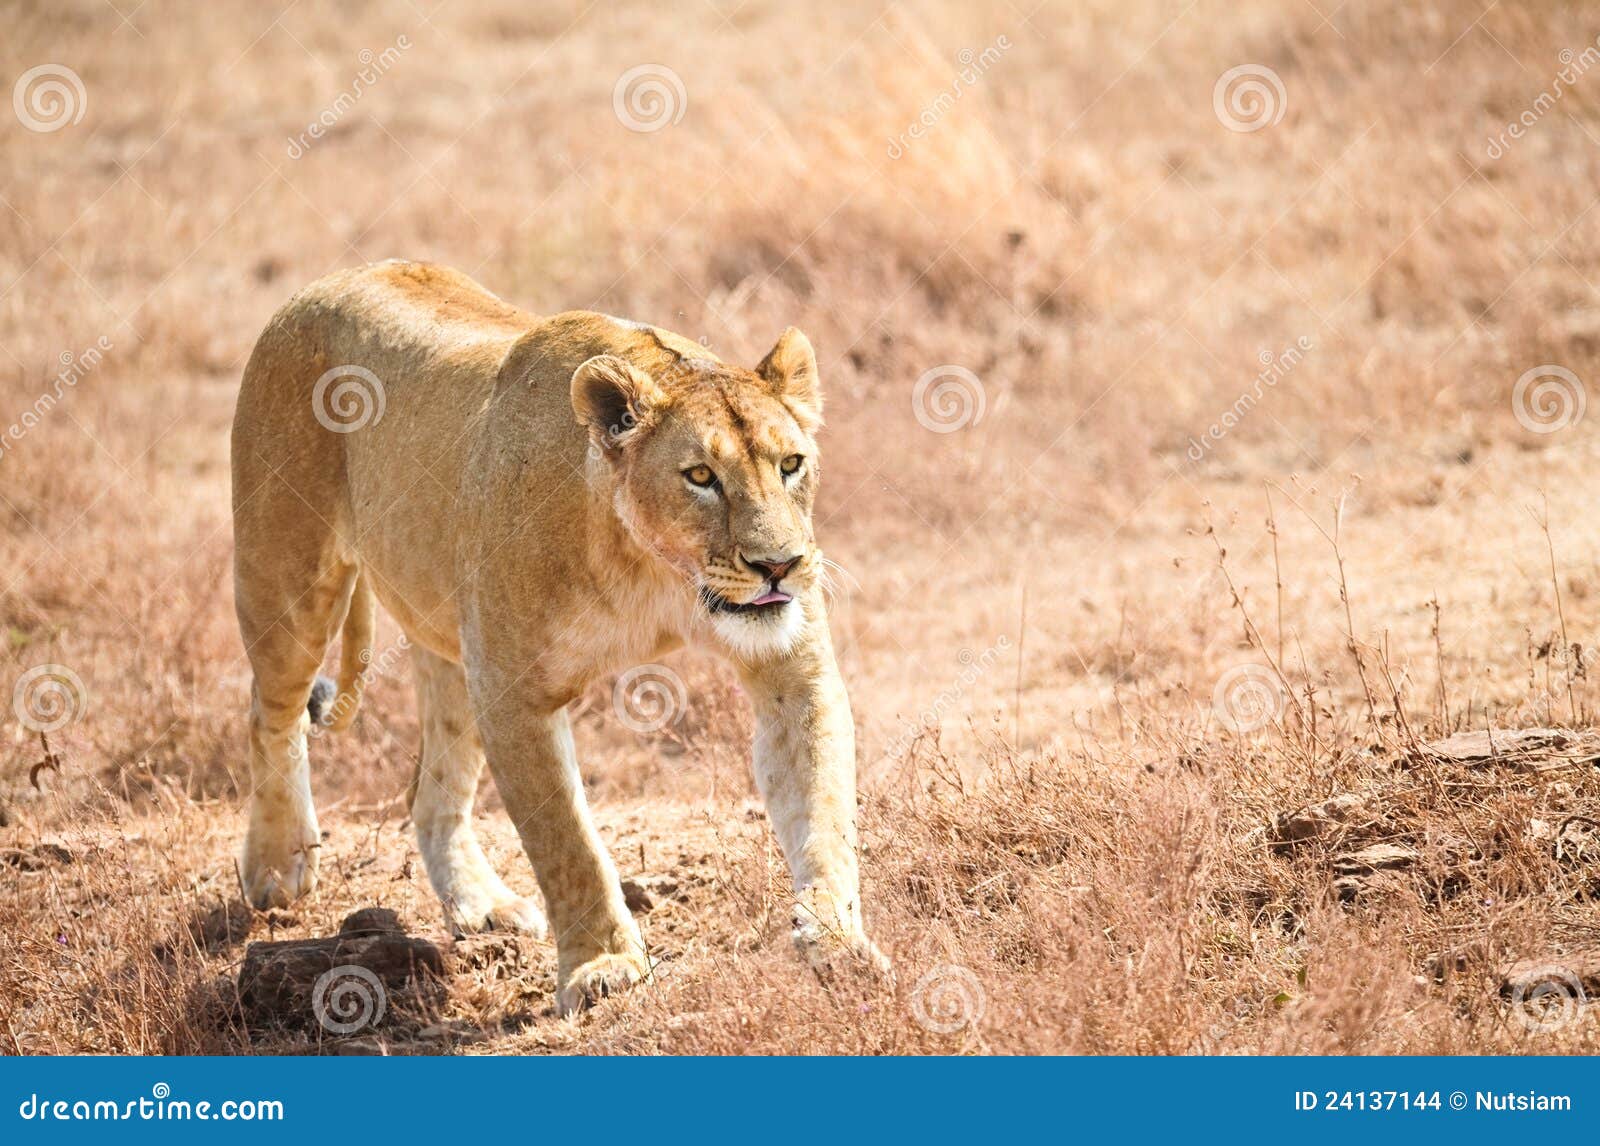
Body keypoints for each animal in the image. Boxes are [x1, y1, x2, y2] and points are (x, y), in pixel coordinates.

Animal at [230, 259, 886, 1013]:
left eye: (790, 465)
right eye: (701, 476)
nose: (778, 565)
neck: (651, 567)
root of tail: (336, 278)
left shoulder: (791, 674)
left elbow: (824, 811)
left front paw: (836, 940)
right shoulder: (513, 692)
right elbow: (567, 842)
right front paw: (605, 965)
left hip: (450, 644)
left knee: (432, 789)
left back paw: (480, 904)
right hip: (289, 578)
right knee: (272, 715)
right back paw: (277, 865)